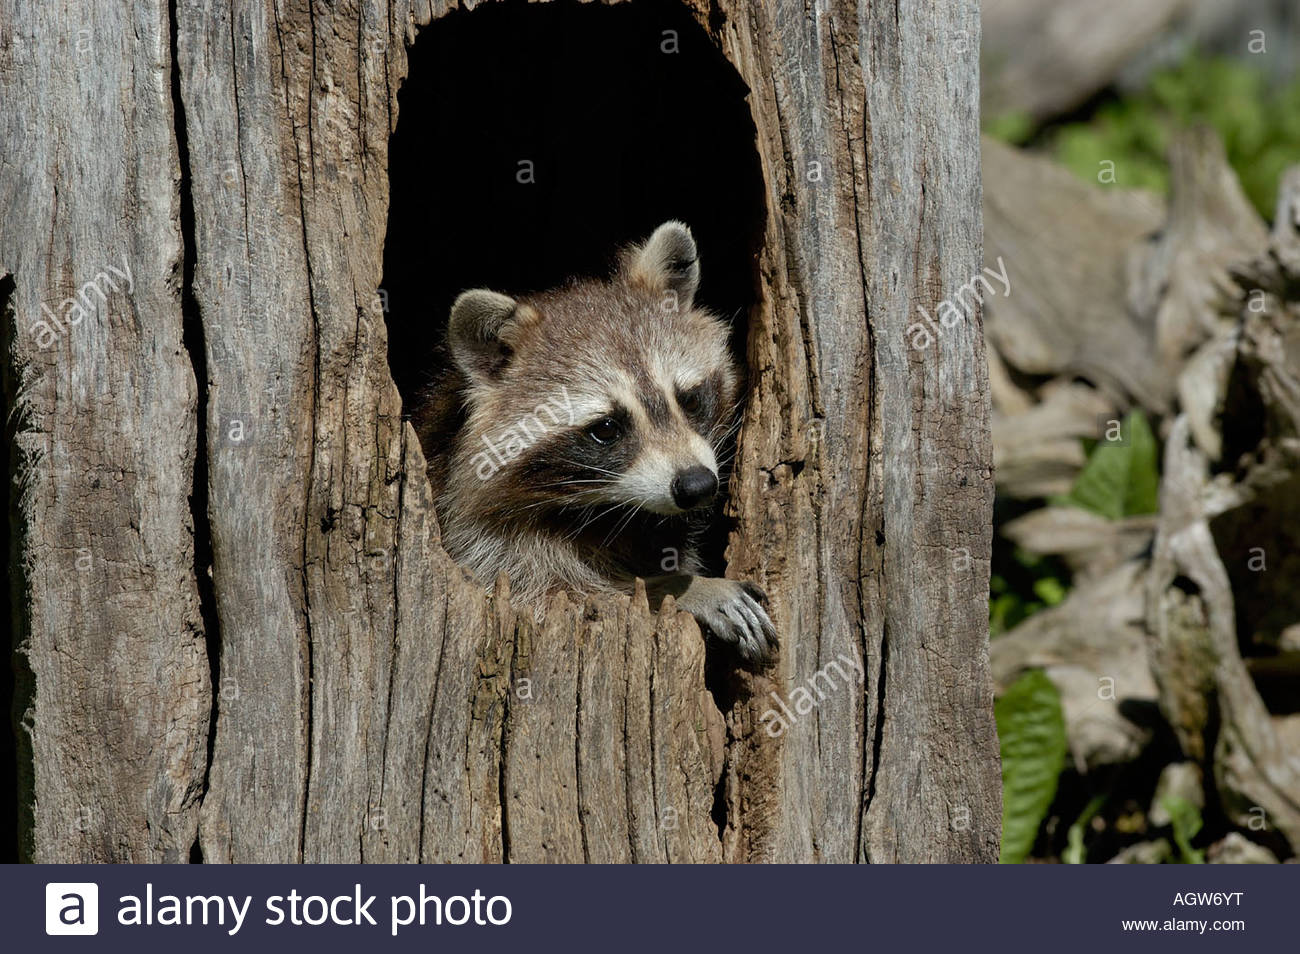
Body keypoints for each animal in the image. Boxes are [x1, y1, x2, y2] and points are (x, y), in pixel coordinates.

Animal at [411, 221, 775, 662]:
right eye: (606, 428)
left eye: (688, 400)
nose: (697, 484)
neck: (608, 513)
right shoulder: (475, 539)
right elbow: (559, 594)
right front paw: (683, 588)